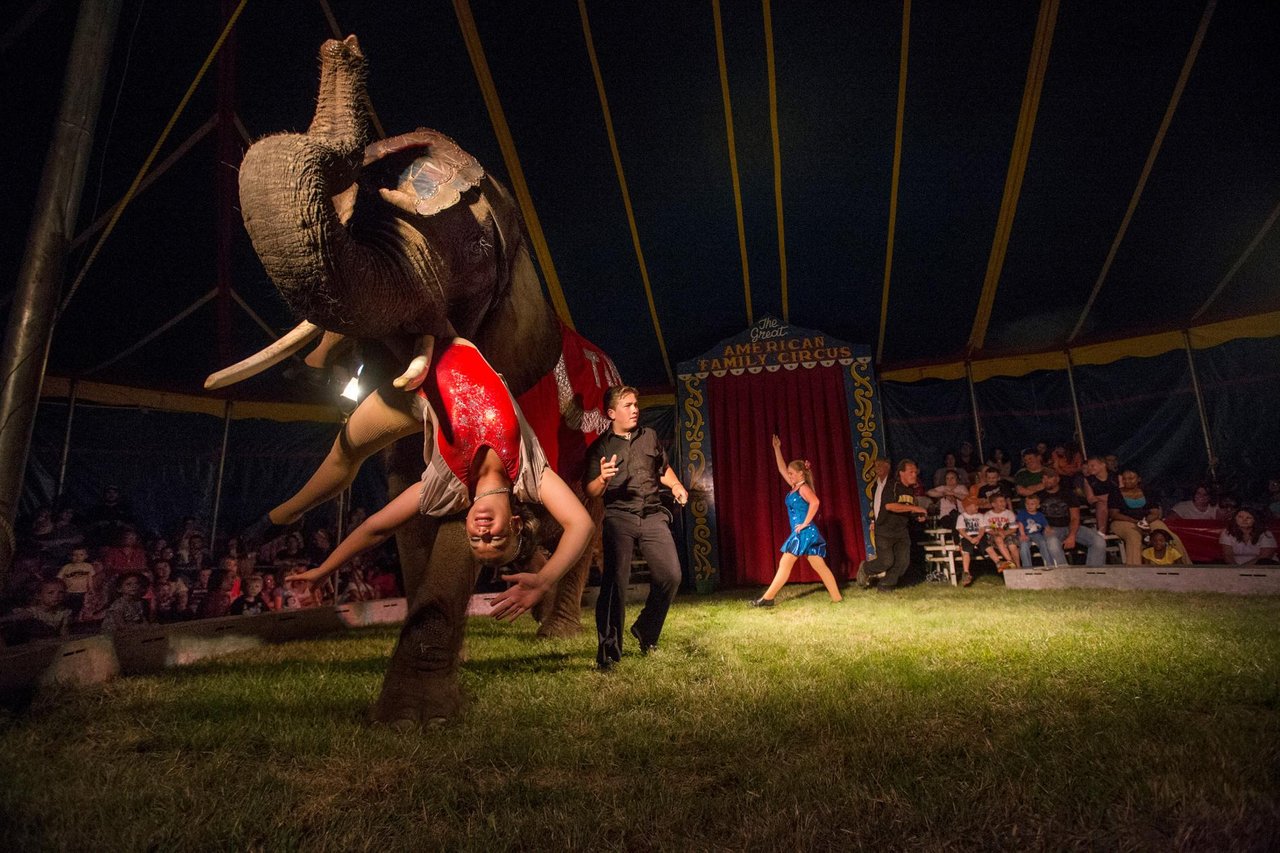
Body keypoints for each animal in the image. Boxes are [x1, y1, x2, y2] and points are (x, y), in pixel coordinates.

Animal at [213, 36, 619, 722]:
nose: (342, 47)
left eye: (477, 252)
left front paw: (415, 715)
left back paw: (554, 630)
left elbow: (461, 516)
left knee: (582, 509)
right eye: (356, 214)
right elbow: (404, 493)